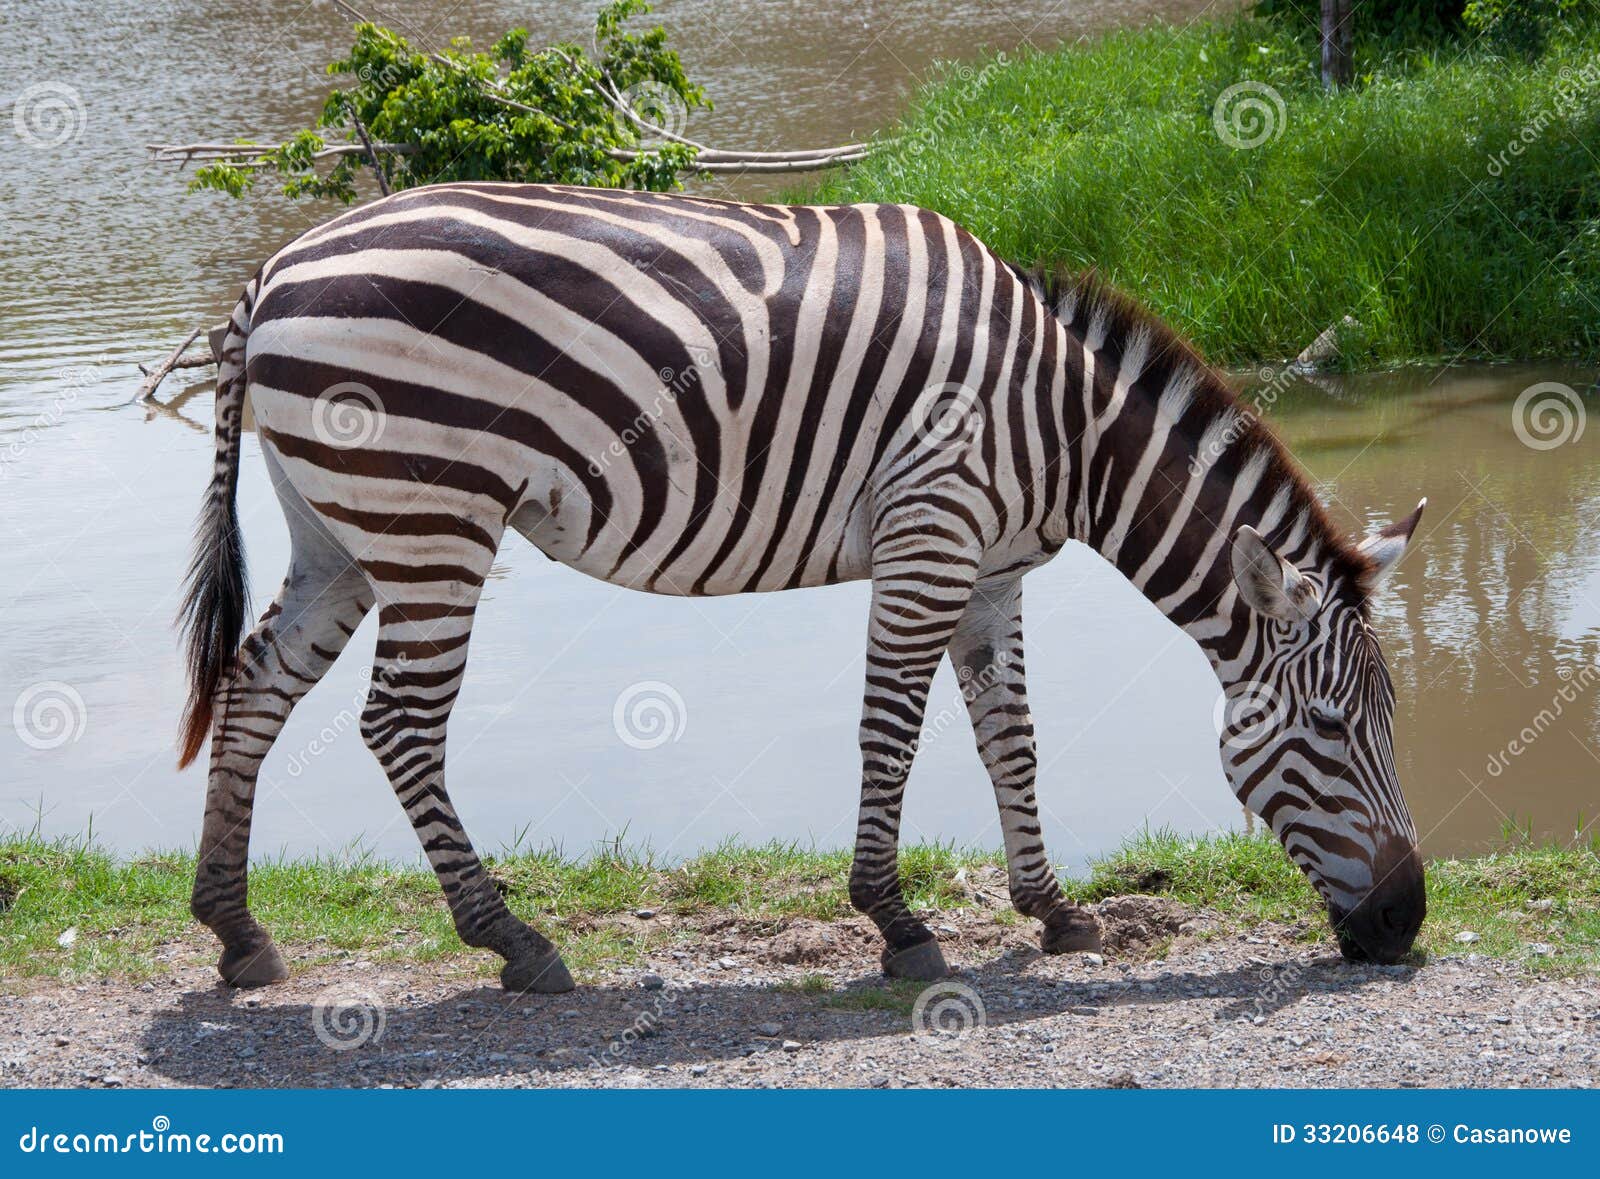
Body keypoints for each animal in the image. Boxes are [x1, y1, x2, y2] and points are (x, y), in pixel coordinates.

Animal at [179, 183, 1427, 993]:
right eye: (1328, 727)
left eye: (1390, 723)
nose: (1406, 922)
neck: (1064, 429)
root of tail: (274, 269)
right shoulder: (930, 535)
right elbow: (892, 731)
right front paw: (896, 922)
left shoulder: (991, 572)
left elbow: (1011, 740)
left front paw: (1055, 911)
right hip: (429, 517)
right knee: (397, 723)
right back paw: (512, 942)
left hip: (342, 532)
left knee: (255, 688)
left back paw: (236, 935)